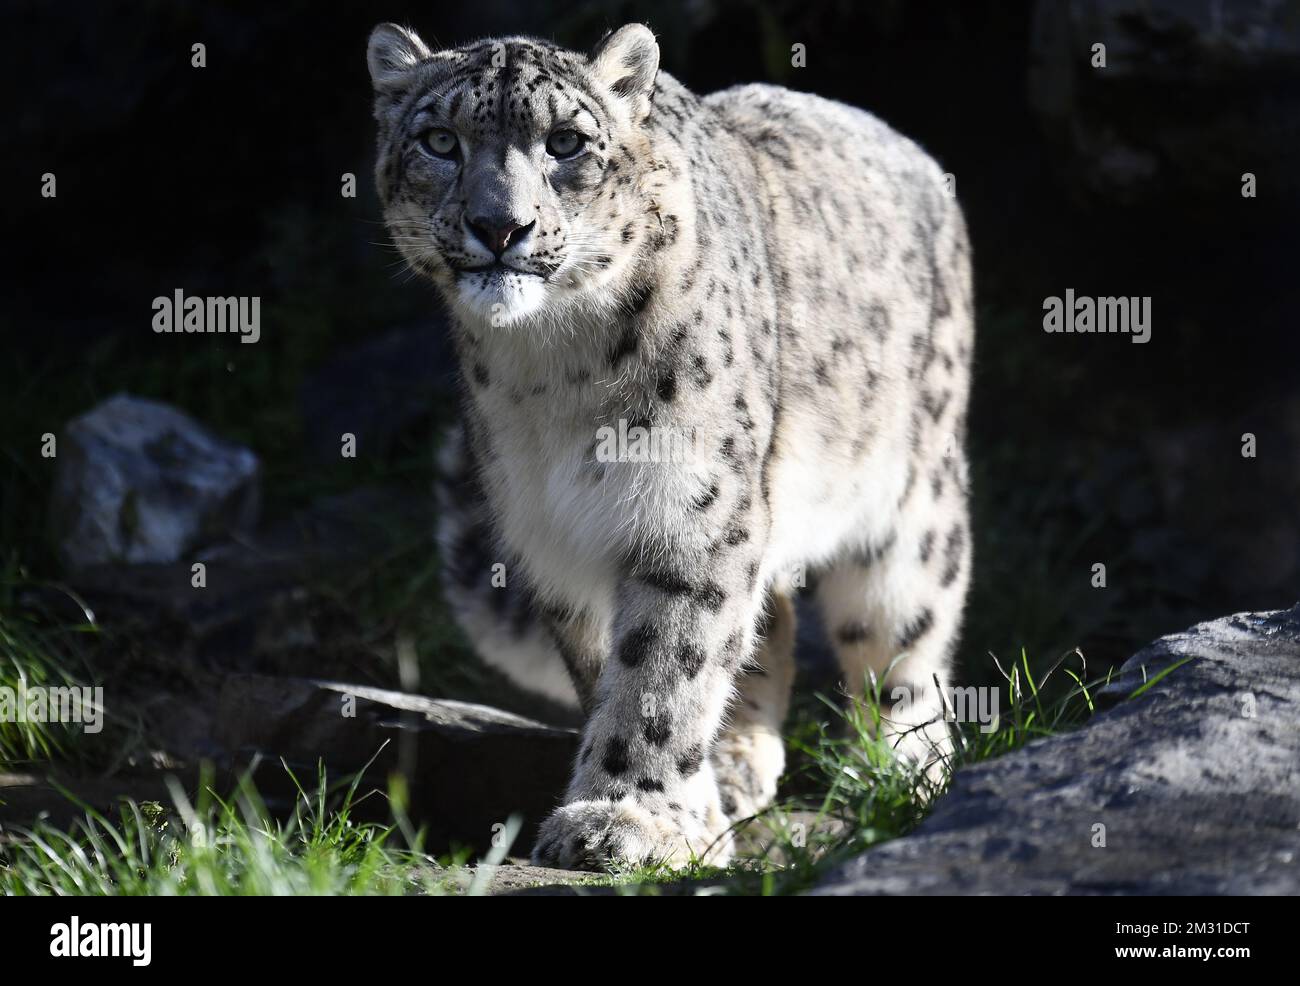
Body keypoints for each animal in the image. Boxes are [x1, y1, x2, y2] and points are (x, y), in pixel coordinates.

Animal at [366, 21, 974, 870]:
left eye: (565, 141)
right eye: (439, 141)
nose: (500, 227)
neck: (552, 371)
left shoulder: (689, 512)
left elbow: (663, 667)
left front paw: (625, 818)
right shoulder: (556, 533)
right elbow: (617, 667)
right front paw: (687, 816)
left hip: (911, 501)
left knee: (904, 634)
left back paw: (904, 765)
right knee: (770, 624)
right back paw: (739, 768)